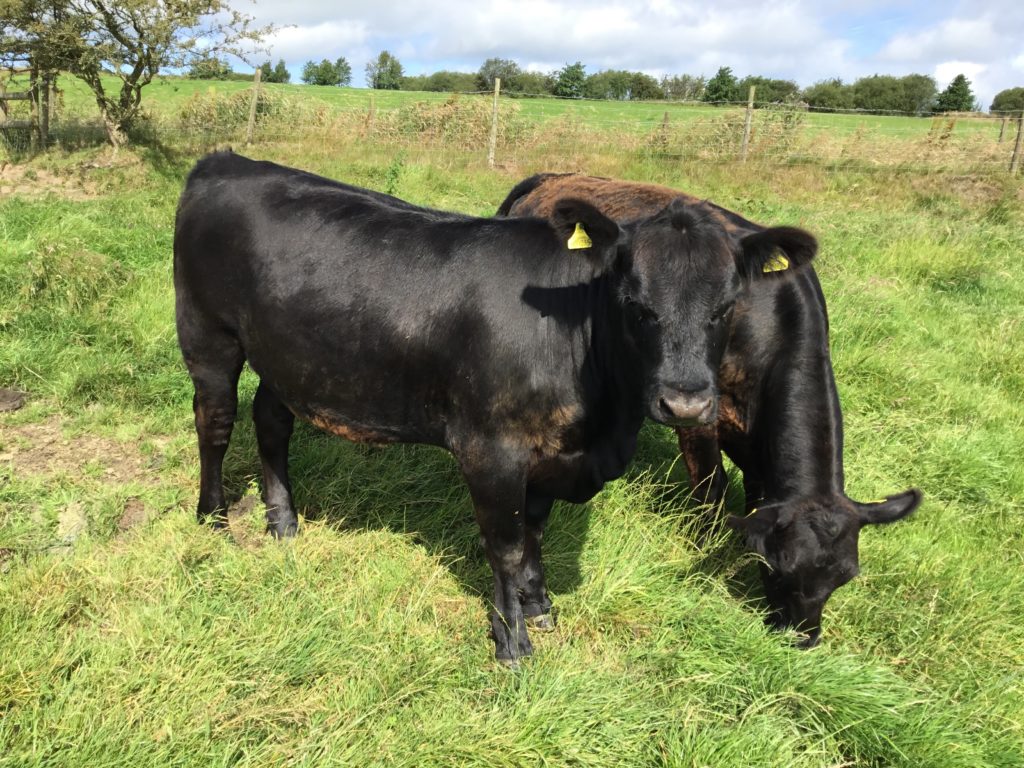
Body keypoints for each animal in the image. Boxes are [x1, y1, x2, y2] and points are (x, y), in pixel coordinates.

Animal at [173, 153, 816, 663]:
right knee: (215, 421)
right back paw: (213, 517)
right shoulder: (491, 449)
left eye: (727, 307)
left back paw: (282, 520)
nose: (685, 402)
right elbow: (504, 544)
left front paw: (538, 603)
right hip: (208, 335)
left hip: (289, 357)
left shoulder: (548, 452)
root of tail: (226, 160)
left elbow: (533, 530)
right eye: (635, 303)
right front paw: (512, 639)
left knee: (271, 420)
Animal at [497, 172, 920, 647]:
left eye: (845, 576)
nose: (800, 640)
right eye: (780, 567)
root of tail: (553, 177)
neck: (772, 323)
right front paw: (710, 548)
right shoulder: (699, 414)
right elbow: (712, 488)